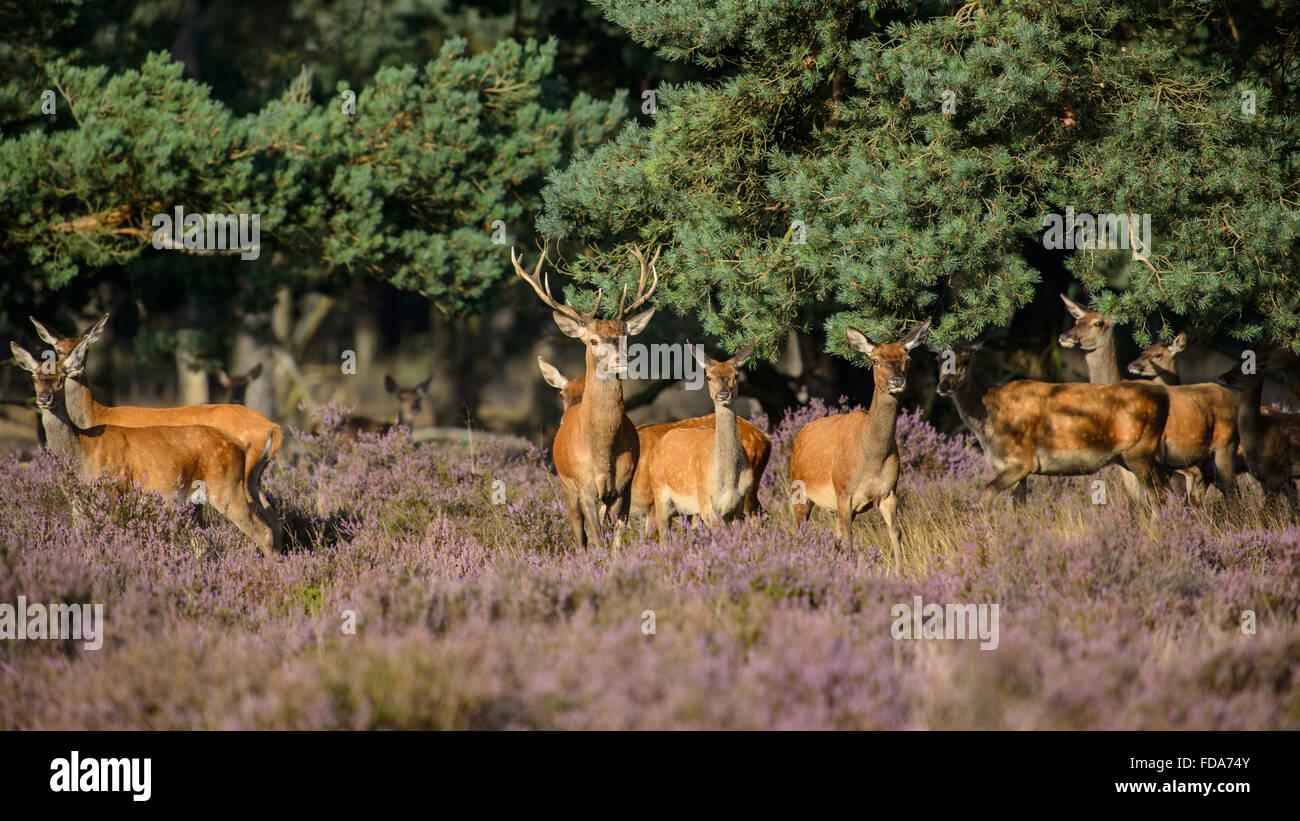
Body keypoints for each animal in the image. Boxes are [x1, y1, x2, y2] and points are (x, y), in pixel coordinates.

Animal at [31, 314, 283, 549]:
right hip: (253, 475)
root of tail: (273, 427)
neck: (93, 416)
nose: (74, 367)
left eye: (86, 349)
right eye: (58, 350)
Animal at [514, 245, 656, 550]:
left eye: (624, 336)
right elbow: (596, 539)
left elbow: (616, 541)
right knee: (579, 534)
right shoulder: (584, 486)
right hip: (566, 484)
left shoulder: (624, 487)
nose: (624, 360)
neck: (602, 452)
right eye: (593, 340)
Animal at [642, 344, 759, 537]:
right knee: (663, 533)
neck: (729, 481)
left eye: (736, 375)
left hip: (688, 510)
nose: (723, 395)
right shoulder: (705, 502)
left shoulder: (738, 504)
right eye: (708, 376)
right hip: (660, 495)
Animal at [789, 320, 931, 570]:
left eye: (908, 359)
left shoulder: (889, 492)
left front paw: (900, 572)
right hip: (798, 490)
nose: (896, 382)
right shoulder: (843, 491)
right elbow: (849, 540)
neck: (871, 459)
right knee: (800, 533)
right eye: (874, 360)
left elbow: (896, 533)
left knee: (834, 535)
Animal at [932, 333, 1171, 508]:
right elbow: (1019, 508)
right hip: (1127, 458)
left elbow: (987, 494)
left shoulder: (1022, 459)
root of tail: (1164, 397)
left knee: (1159, 497)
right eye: (937, 361)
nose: (943, 386)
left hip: (1140, 451)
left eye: (965, 360)